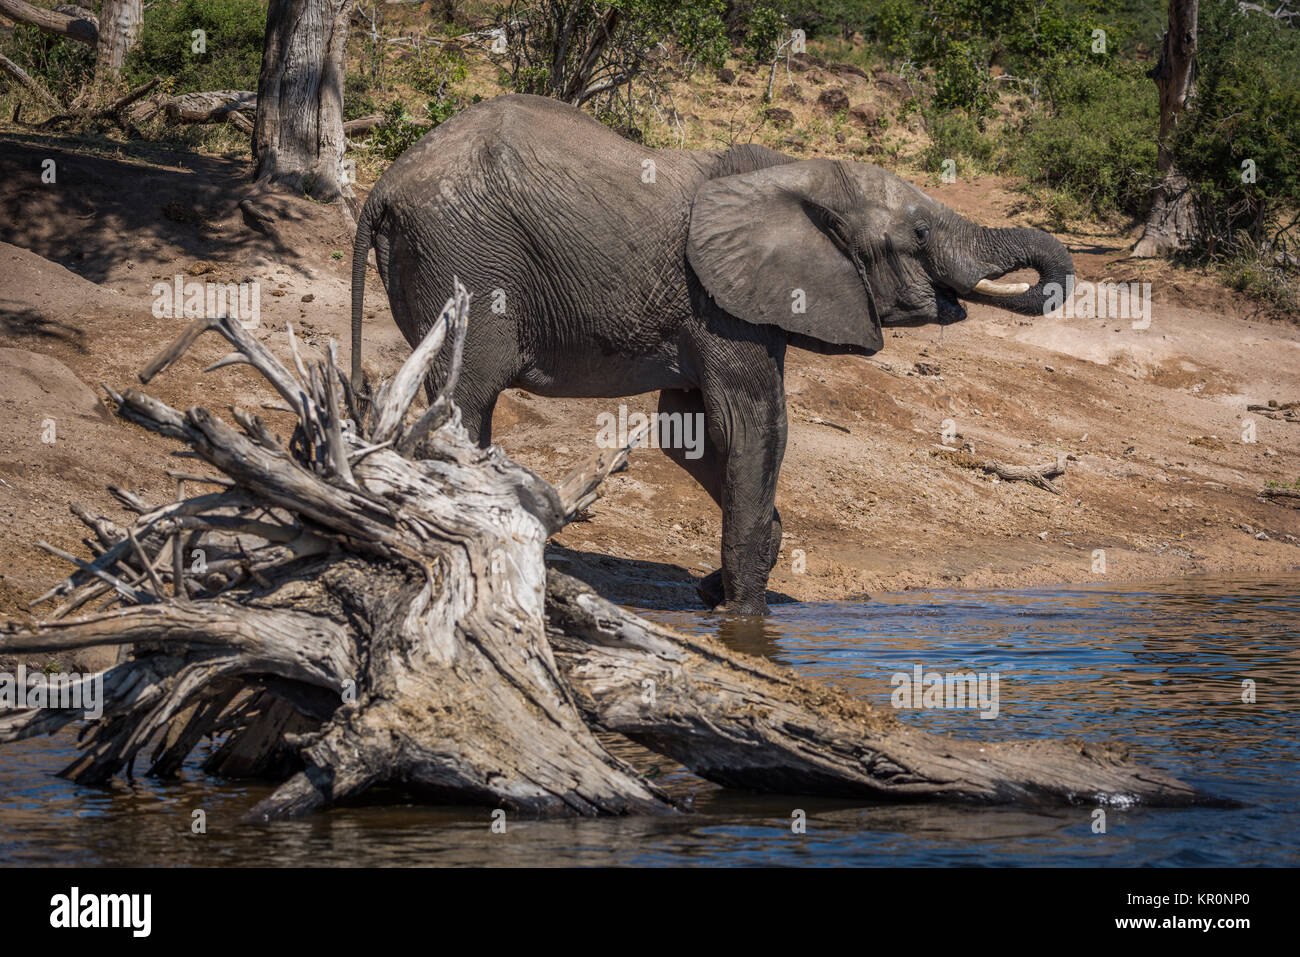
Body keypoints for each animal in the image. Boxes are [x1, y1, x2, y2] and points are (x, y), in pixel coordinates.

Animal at [350, 93, 1073, 614]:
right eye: (919, 234)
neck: (796, 171)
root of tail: (383, 186)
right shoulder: (723, 304)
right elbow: (751, 424)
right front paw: (745, 618)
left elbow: (689, 430)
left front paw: (723, 584)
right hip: (465, 259)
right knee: (465, 400)